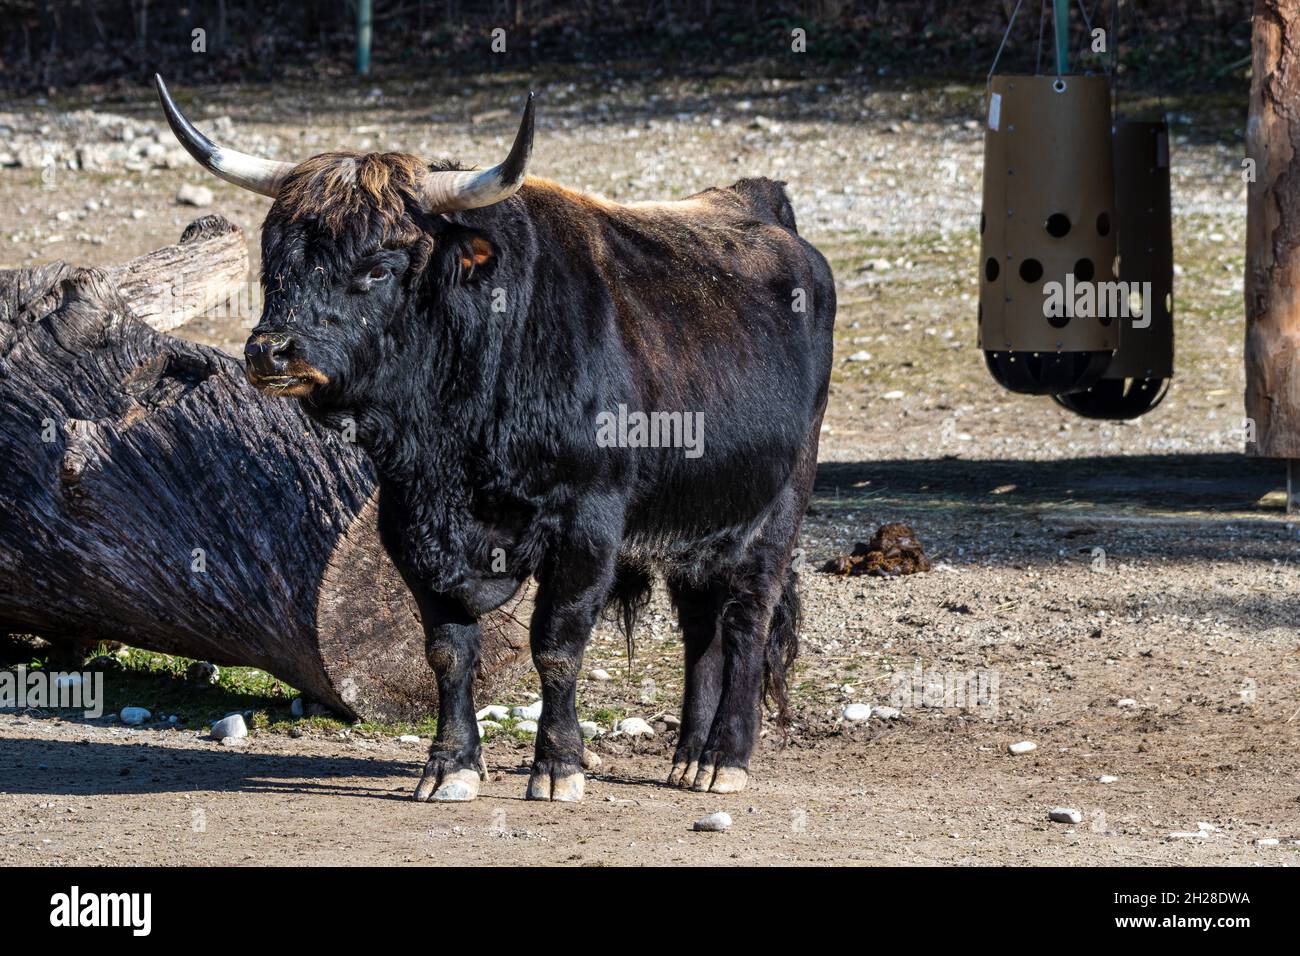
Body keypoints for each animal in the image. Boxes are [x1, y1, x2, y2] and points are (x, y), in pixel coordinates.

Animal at [155, 75, 835, 802]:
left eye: (377, 267)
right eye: (274, 259)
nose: (270, 351)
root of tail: (765, 213)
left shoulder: (588, 524)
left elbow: (557, 645)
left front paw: (559, 766)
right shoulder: (408, 527)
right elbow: (448, 650)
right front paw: (449, 765)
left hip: (778, 507)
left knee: (747, 619)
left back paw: (724, 760)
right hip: (699, 518)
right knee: (701, 625)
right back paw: (687, 758)